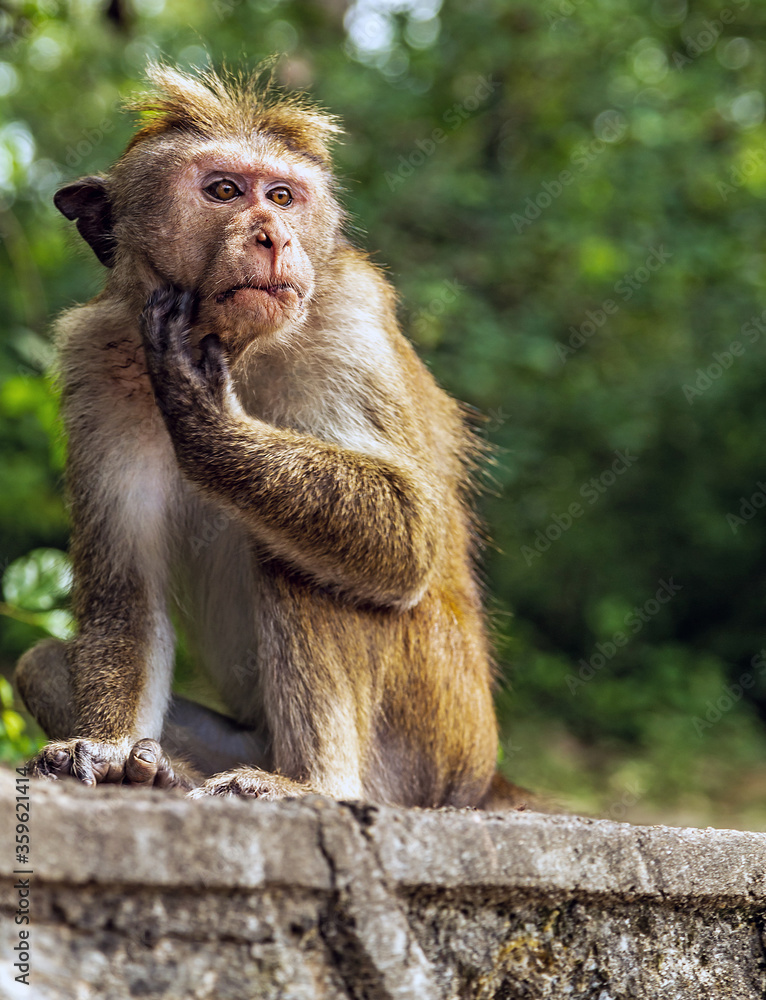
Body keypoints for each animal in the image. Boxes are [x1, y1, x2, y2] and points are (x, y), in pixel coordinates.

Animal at [14, 64, 521, 809]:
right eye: (224, 190)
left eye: (282, 196)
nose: (274, 236)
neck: (245, 351)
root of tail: (485, 776)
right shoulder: (97, 360)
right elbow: (124, 589)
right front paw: (105, 750)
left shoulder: (351, 322)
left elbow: (410, 534)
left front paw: (205, 419)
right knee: (40, 661)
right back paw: (166, 772)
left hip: (435, 736)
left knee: (303, 561)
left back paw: (313, 786)